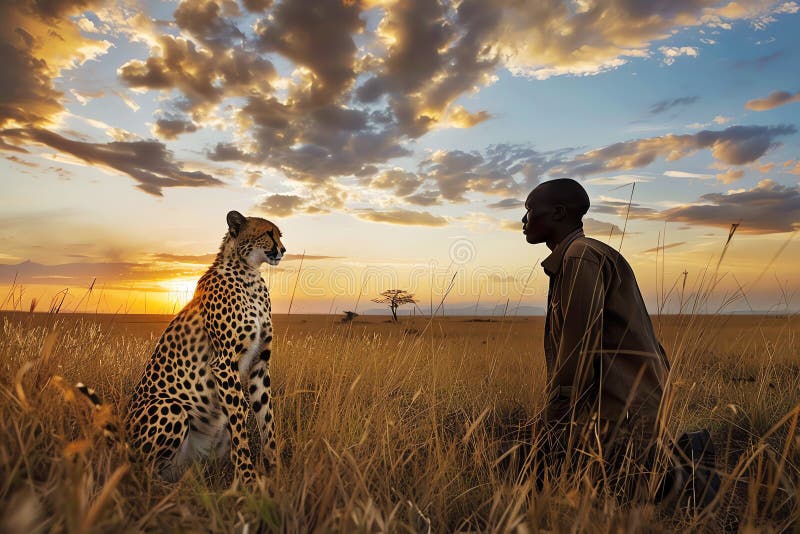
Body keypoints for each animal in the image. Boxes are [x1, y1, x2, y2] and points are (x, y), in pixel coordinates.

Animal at [125, 210, 285, 484]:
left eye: (280, 235)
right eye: (267, 233)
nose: (283, 250)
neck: (249, 275)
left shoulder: (260, 364)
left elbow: (266, 418)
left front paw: (275, 474)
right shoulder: (224, 363)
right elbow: (240, 419)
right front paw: (248, 479)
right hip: (171, 408)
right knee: (141, 472)